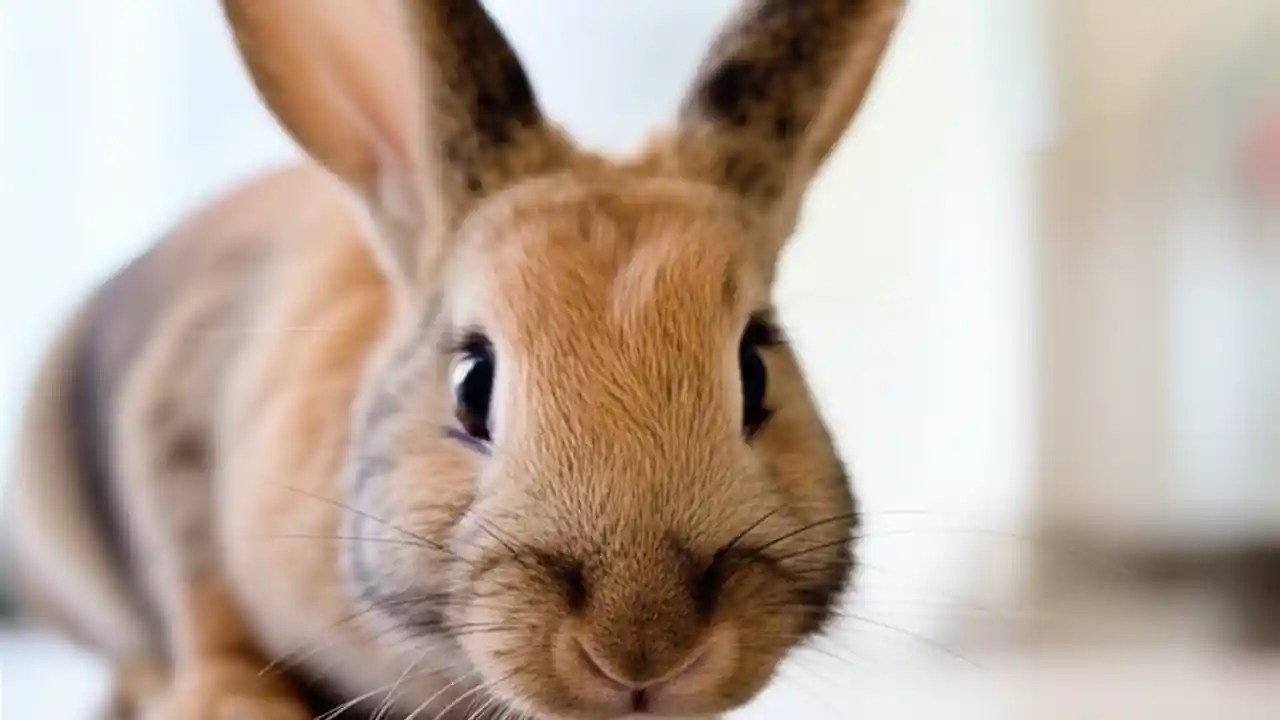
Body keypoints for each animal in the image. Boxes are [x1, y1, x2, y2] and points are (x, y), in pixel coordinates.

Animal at [4, 0, 904, 718]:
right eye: (473, 383)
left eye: (755, 371)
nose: (644, 649)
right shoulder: (173, 441)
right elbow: (205, 611)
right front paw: (231, 704)